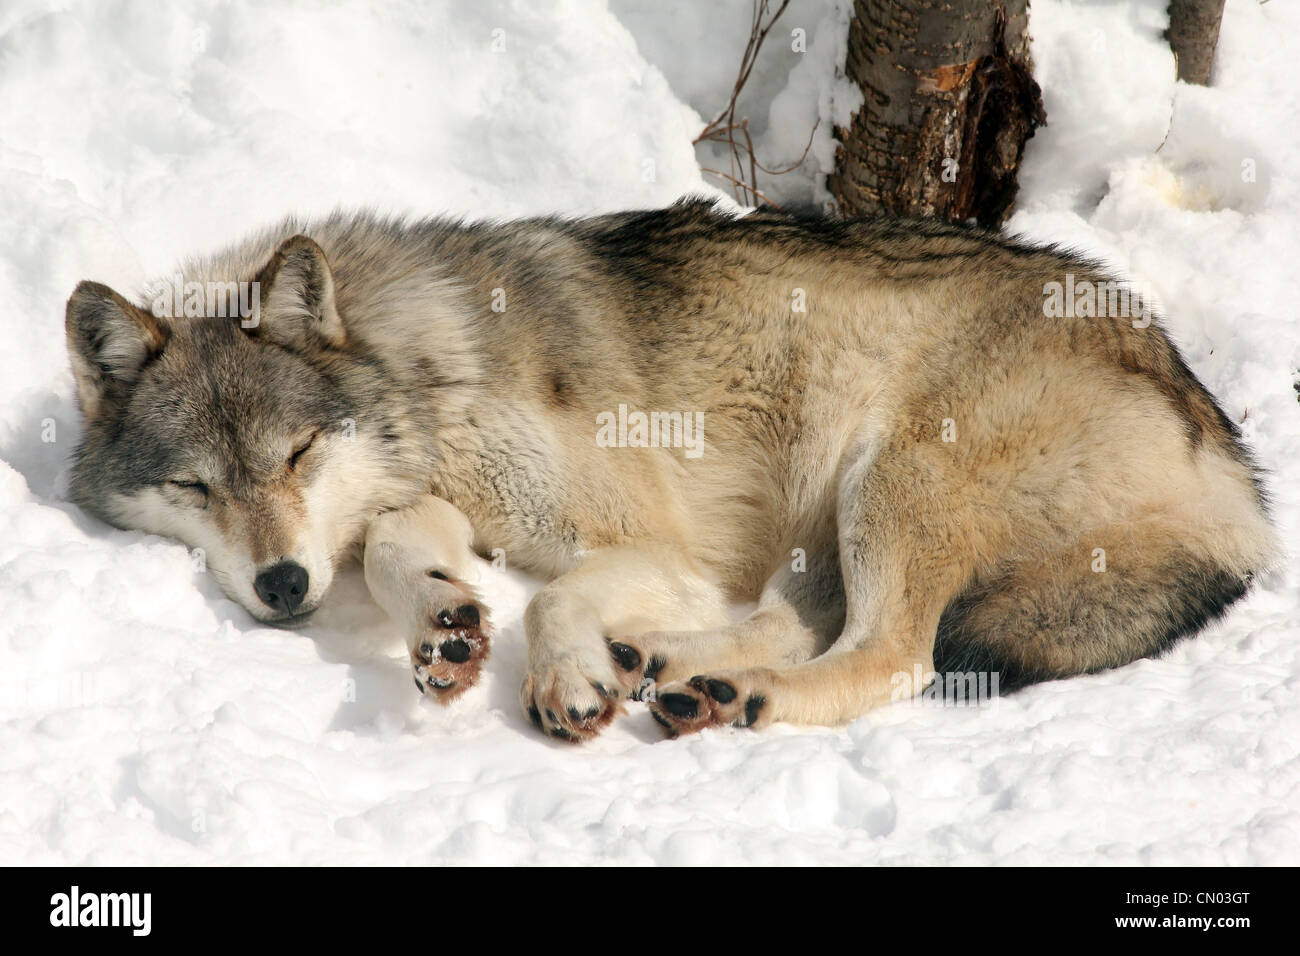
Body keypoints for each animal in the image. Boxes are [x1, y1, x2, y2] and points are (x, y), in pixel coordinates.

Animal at [64, 200, 1276, 739]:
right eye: (195, 487)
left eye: (298, 452)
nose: (280, 588)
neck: (426, 372)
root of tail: (1244, 482)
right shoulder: (435, 508)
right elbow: (409, 550)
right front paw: (448, 632)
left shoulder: (647, 539)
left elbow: (549, 594)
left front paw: (563, 674)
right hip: (826, 518)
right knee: (805, 623)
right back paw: (679, 671)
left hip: (889, 478)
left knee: (894, 655)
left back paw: (723, 690)